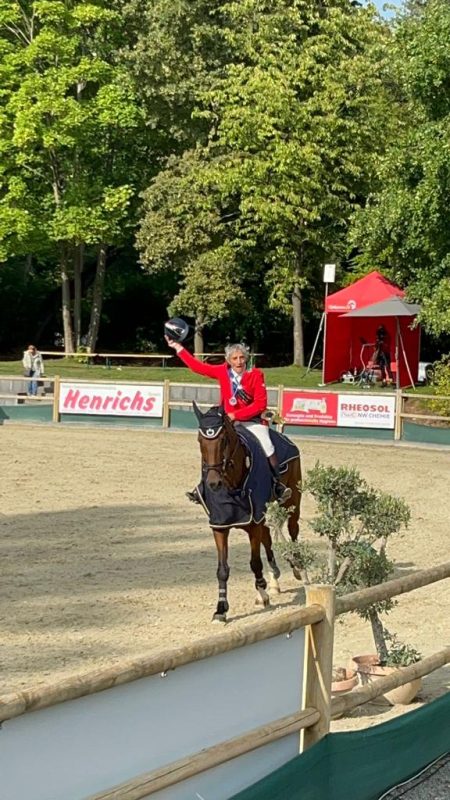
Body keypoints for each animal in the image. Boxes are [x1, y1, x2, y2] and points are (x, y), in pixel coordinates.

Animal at [192, 402, 302, 622]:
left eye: (223, 440)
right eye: (200, 440)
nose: (213, 483)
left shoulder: (253, 523)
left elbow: (255, 562)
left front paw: (262, 592)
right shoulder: (220, 526)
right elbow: (222, 569)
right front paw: (221, 609)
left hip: (292, 501)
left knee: (293, 529)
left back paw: (297, 566)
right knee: (268, 536)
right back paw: (274, 577)